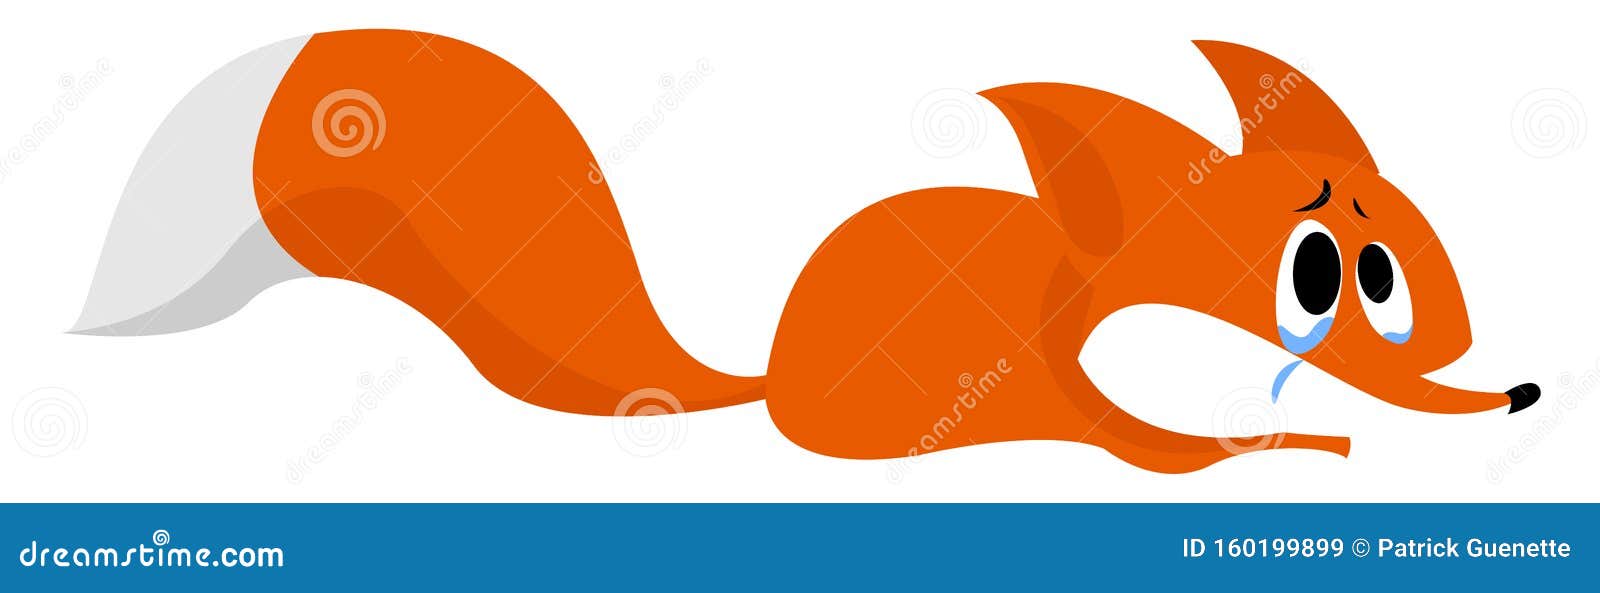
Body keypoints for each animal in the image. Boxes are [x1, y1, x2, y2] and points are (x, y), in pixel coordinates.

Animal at [75, 29, 1538, 473]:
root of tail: (765, 380)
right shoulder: (1092, 394)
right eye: (1327, 276)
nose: (1517, 384)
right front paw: (1309, 442)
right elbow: (1169, 446)